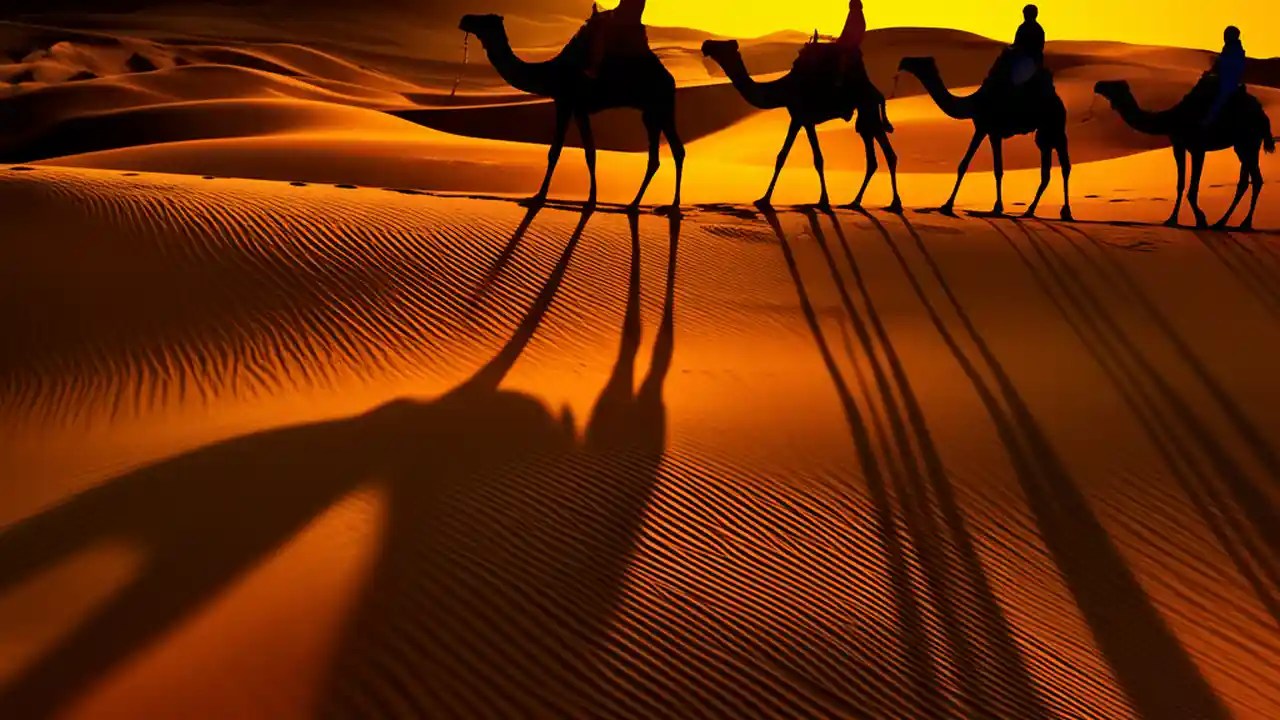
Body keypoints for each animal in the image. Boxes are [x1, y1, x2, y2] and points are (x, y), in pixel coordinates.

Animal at [458, 13, 684, 210]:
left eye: (485, 20)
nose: (465, 19)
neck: (550, 73)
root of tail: (670, 78)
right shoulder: (579, 109)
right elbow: (590, 152)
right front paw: (591, 198)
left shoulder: (565, 102)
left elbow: (556, 151)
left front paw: (539, 196)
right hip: (652, 112)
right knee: (662, 155)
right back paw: (638, 203)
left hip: (659, 106)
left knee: (673, 151)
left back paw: (668, 205)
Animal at [700, 39, 902, 211]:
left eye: (722, 45)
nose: (706, 44)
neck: (785, 89)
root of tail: (876, 92)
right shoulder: (804, 120)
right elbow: (803, 157)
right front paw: (821, 199)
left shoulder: (799, 117)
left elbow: (794, 157)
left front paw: (765, 200)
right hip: (867, 115)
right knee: (876, 158)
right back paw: (857, 202)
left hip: (867, 110)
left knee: (885, 154)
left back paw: (892, 203)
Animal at [898, 55, 1072, 220]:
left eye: (920, 62)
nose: (903, 62)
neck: (974, 102)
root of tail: (1059, 101)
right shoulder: (990, 132)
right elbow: (994, 168)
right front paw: (997, 206)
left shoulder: (984, 129)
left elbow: (971, 166)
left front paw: (948, 205)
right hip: (1045, 134)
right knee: (1047, 172)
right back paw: (1031, 210)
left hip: (1055, 128)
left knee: (1065, 166)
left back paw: (1066, 212)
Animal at [1094, 78, 1276, 230]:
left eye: (1115, 85)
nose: (1098, 85)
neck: (1171, 119)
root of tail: (1262, 113)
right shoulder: (1178, 145)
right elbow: (1180, 184)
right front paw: (1171, 219)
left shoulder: (1198, 148)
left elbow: (1193, 188)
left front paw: (1201, 219)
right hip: (1243, 144)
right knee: (1248, 180)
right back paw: (1225, 222)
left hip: (1249, 141)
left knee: (1254, 179)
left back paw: (1241, 223)